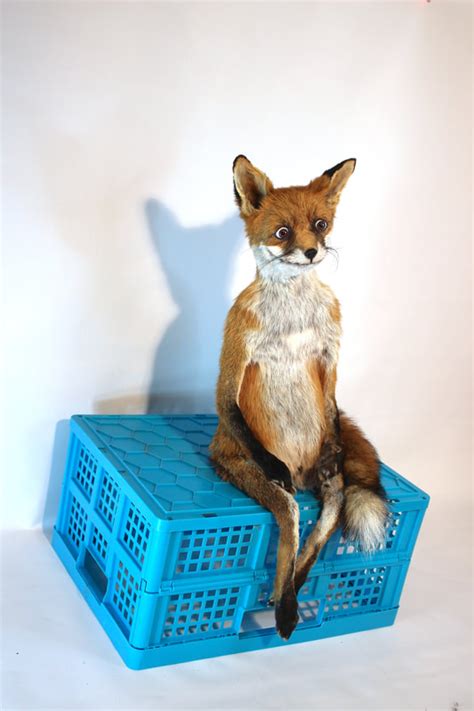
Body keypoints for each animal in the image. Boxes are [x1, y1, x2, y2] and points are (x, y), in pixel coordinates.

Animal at [209, 155, 388, 641]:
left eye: (320, 225)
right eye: (282, 232)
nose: (311, 252)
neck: (290, 317)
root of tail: (307, 478)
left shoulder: (329, 354)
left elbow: (331, 403)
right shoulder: (233, 353)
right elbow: (225, 399)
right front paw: (274, 464)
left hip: (334, 489)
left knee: (321, 531)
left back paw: (296, 592)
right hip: (260, 482)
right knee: (290, 528)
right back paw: (285, 606)